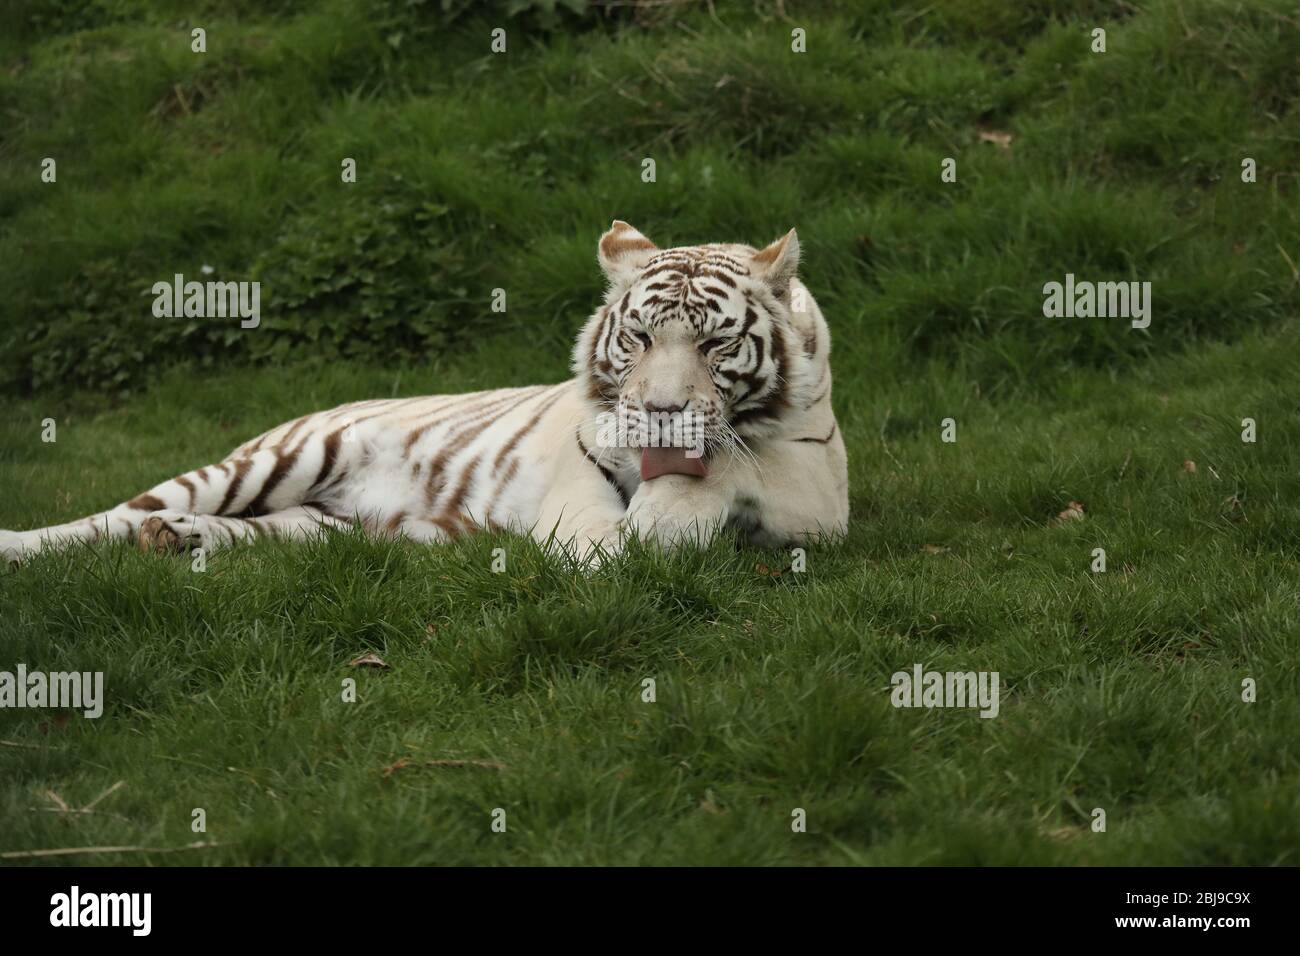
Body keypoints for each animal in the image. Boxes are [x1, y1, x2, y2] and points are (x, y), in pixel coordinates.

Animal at [0, 222, 849, 564]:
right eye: (638, 338)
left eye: (713, 344)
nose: (663, 416)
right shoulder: (579, 461)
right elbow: (594, 520)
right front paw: (609, 551)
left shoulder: (819, 478)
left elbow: (741, 461)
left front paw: (668, 517)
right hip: (275, 461)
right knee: (108, 517)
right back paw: (34, 545)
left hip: (323, 528)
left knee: (261, 537)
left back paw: (180, 540)